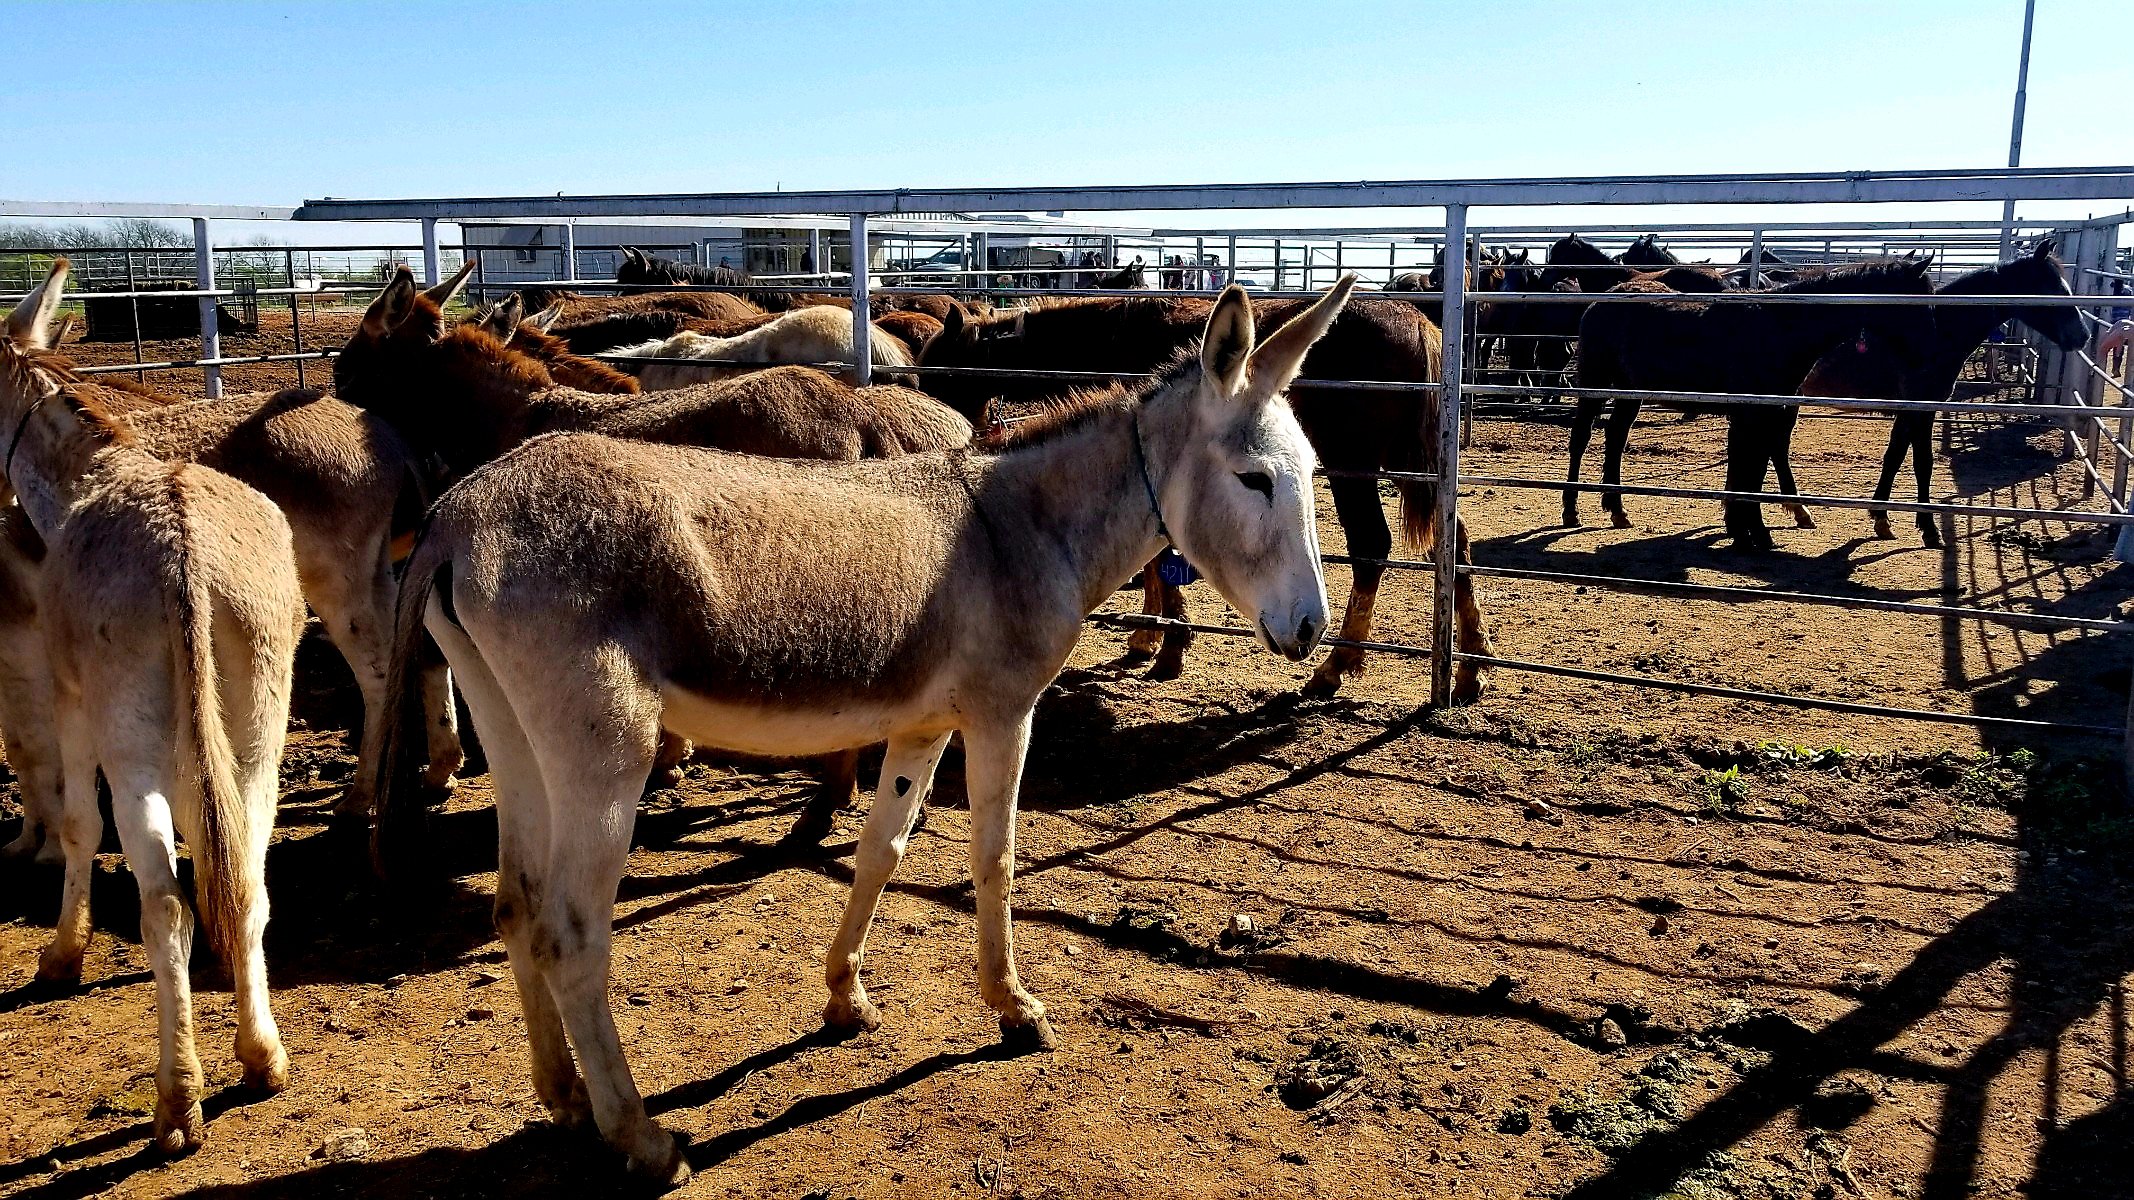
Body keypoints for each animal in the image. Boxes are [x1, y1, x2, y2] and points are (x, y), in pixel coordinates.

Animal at [4, 261, 305, 1155]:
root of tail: (182, 550)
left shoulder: (70, 698)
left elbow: (77, 824)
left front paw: (62, 956)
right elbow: (215, 858)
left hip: (131, 739)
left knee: (162, 902)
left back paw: (178, 1103)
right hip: (257, 725)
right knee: (248, 875)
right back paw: (262, 1057)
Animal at [367, 279, 1352, 1183]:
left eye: (1309, 475)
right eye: (1255, 480)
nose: (1310, 631)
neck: (1022, 528)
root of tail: (457, 513)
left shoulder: (921, 724)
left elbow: (884, 848)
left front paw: (846, 996)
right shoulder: (1003, 715)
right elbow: (993, 857)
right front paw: (1013, 1007)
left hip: (513, 732)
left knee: (516, 904)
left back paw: (565, 1097)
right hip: (603, 751)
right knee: (571, 930)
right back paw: (641, 1137)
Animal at [919, 291, 1495, 700]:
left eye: (938, 376)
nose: (946, 434)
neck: (1111, 337)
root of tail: (1420, 326)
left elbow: (1160, 561)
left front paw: (1167, 644)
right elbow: (1153, 562)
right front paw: (1149, 635)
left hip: (1355, 470)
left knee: (1372, 546)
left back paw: (1337, 665)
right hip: (1417, 468)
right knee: (1454, 542)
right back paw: (1470, 664)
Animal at [1564, 257, 1940, 549]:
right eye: (1919, 304)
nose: (1930, 362)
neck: (1779, 328)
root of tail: (1602, 299)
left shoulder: (1766, 411)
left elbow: (1751, 468)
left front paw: (1742, 529)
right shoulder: (1755, 413)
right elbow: (1752, 466)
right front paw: (1755, 532)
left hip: (1631, 390)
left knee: (1616, 436)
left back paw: (1617, 509)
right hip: (1596, 382)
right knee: (1581, 438)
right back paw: (1571, 510)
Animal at [1798, 239, 2090, 546]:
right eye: (2054, 289)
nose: (2083, 336)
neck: (1940, 332)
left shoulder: (1913, 410)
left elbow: (1895, 457)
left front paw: (1881, 517)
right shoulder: (1921, 408)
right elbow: (1921, 462)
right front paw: (1927, 527)